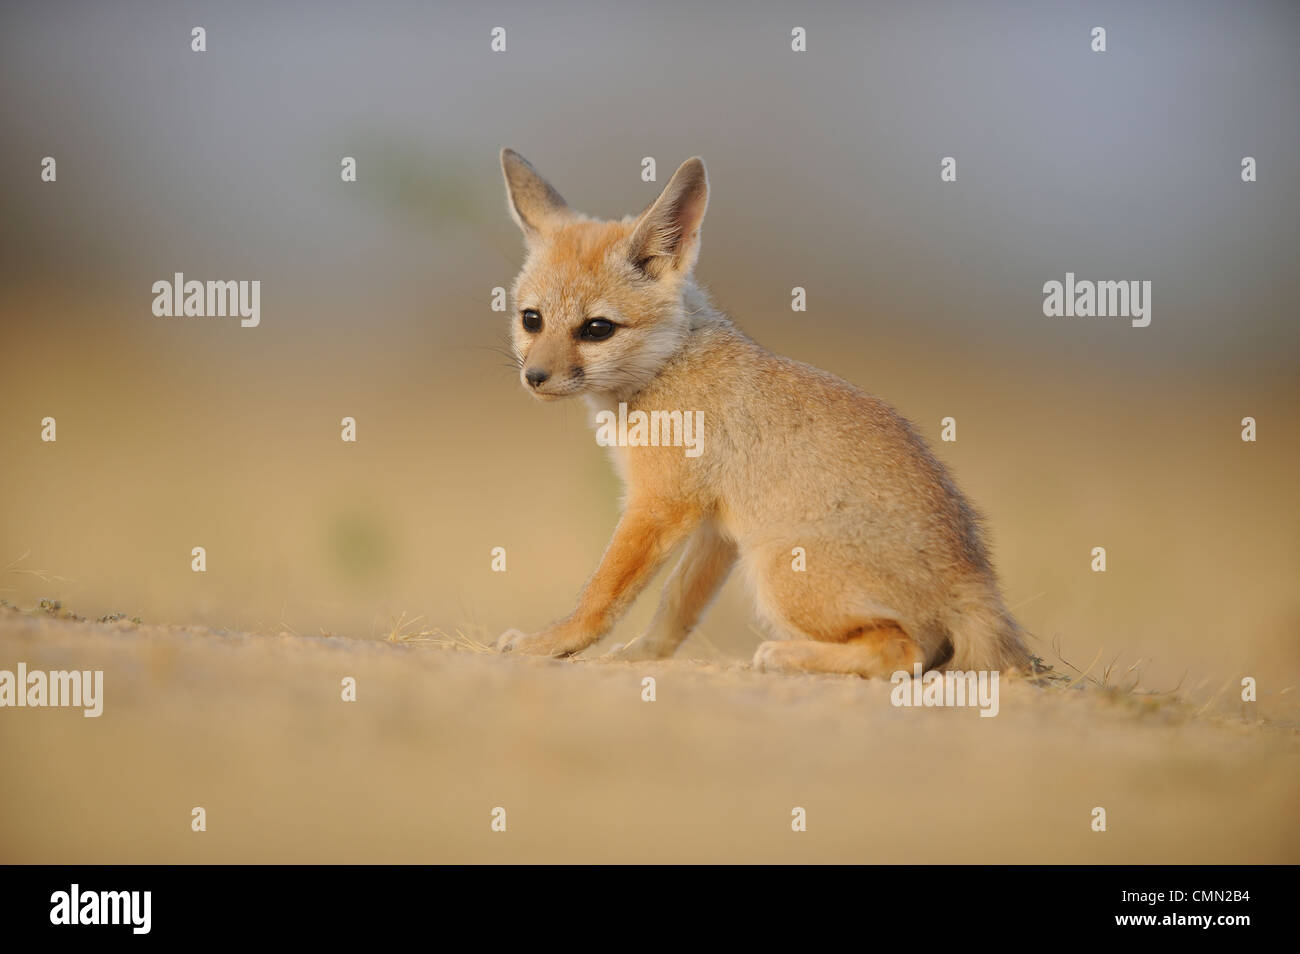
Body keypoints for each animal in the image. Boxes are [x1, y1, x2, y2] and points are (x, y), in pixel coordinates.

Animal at [493, 148, 1034, 677]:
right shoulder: (715, 528)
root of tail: (972, 575)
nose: (534, 377)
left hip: (774, 567)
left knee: (903, 651)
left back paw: (786, 654)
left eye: (597, 329)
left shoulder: (659, 504)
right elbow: (676, 607)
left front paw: (549, 643)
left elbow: (601, 597)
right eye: (531, 320)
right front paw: (640, 655)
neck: (668, 367)